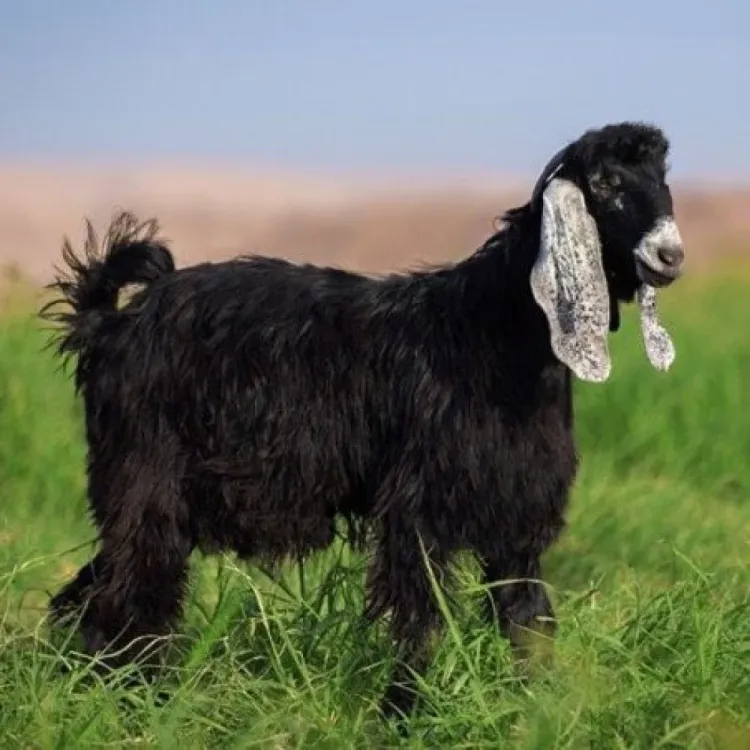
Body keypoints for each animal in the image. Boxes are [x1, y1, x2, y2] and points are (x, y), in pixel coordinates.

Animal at [41, 121, 685, 720]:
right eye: (605, 182)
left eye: (662, 176)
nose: (669, 254)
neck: (489, 330)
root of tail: (111, 324)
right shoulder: (419, 510)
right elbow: (422, 618)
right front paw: (402, 714)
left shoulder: (517, 515)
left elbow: (528, 619)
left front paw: (538, 711)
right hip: (144, 478)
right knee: (128, 594)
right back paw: (140, 703)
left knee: (100, 589)